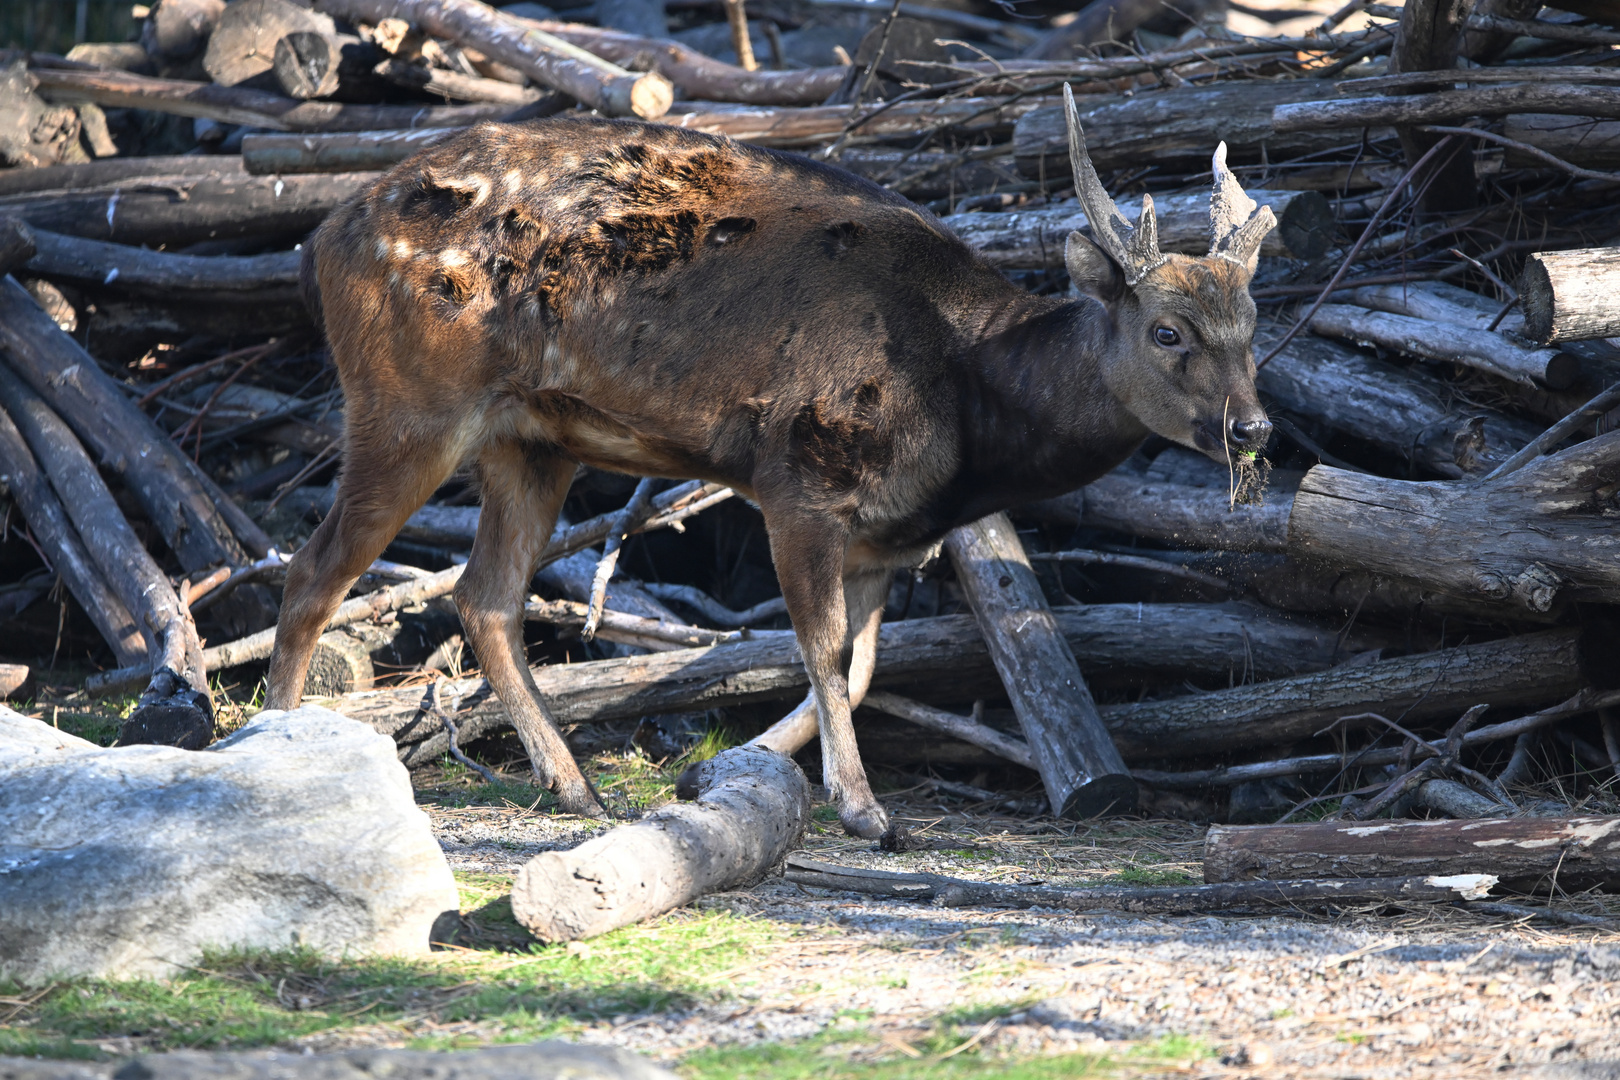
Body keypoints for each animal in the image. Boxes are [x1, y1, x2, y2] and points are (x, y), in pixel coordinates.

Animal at [265, 88, 1276, 841]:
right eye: (1167, 330)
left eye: (1253, 325)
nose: (1253, 431)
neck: (965, 416)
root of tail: (318, 242)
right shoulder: (801, 483)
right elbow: (823, 648)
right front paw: (864, 810)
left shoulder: (888, 538)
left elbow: (861, 666)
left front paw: (726, 766)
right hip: (408, 401)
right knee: (314, 572)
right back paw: (277, 744)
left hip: (533, 441)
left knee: (485, 597)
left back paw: (578, 788)